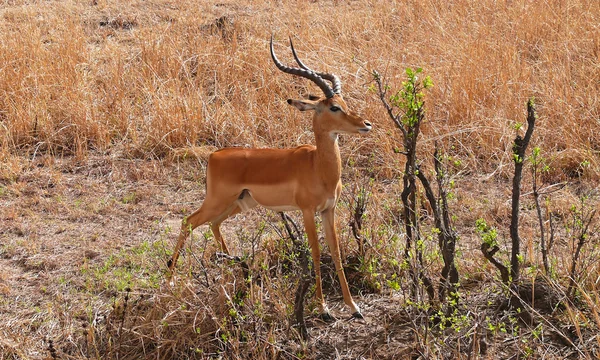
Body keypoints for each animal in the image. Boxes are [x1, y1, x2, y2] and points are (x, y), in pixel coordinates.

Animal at [169, 35, 372, 318]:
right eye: (333, 107)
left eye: (345, 104)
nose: (366, 124)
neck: (318, 166)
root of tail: (214, 155)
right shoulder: (307, 211)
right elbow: (316, 251)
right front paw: (323, 308)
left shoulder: (328, 209)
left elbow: (336, 251)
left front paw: (353, 306)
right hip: (217, 202)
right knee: (187, 222)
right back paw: (170, 281)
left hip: (237, 203)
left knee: (213, 225)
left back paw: (231, 268)